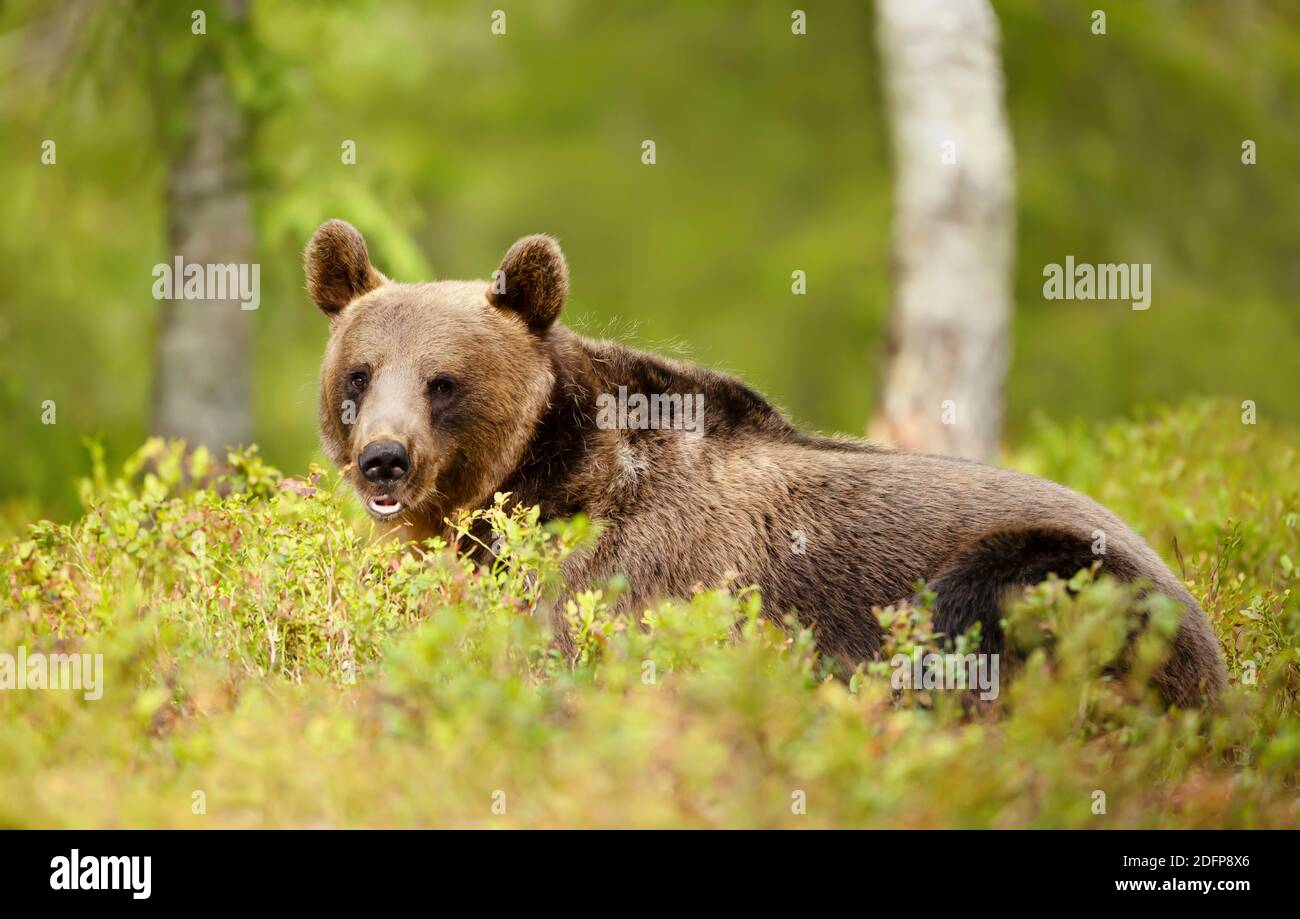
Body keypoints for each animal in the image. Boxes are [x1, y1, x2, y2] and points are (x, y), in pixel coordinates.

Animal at [305, 219, 1227, 708]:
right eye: (360, 373)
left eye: (443, 381)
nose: (384, 460)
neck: (538, 474)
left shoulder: (628, 565)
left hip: (1071, 575)